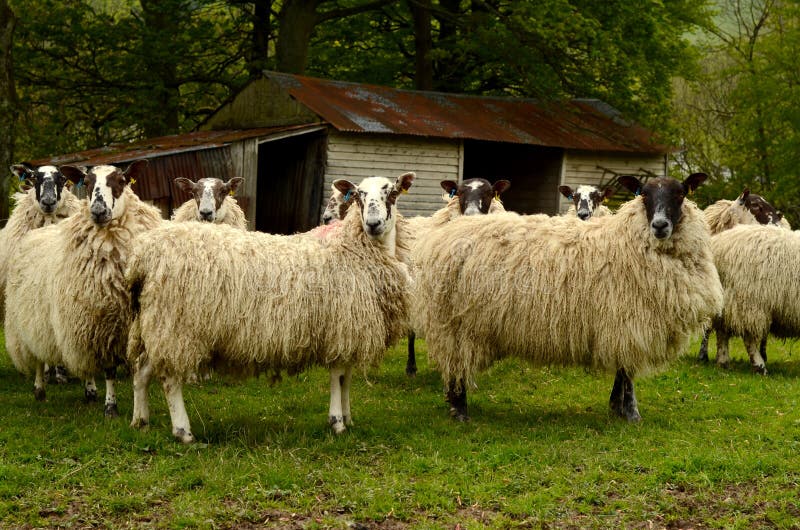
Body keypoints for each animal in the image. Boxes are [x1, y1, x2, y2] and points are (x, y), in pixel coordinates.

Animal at [125, 172, 415, 443]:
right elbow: (337, 378)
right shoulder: (340, 328)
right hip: (177, 326)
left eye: (392, 194)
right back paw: (183, 431)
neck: (351, 248)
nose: (373, 224)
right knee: (169, 379)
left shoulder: (352, 332)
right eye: (358, 196)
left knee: (142, 370)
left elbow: (347, 378)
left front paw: (348, 418)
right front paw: (337, 422)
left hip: (158, 324)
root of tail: (144, 254)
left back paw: (140, 421)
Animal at [412, 173, 723, 423]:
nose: (659, 225)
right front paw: (631, 412)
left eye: (680, 193)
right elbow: (629, 373)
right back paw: (460, 410)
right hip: (456, 324)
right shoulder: (628, 321)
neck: (628, 241)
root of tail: (442, 238)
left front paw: (615, 406)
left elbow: (622, 371)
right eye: (644, 194)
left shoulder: (621, 324)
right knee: (456, 365)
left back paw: (452, 403)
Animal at [709, 224, 800, 374]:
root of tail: (718, 246)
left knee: (722, 330)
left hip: (728, 300)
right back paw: (760, 366)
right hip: (749, 302)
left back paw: (723, 362)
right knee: (748, 338)